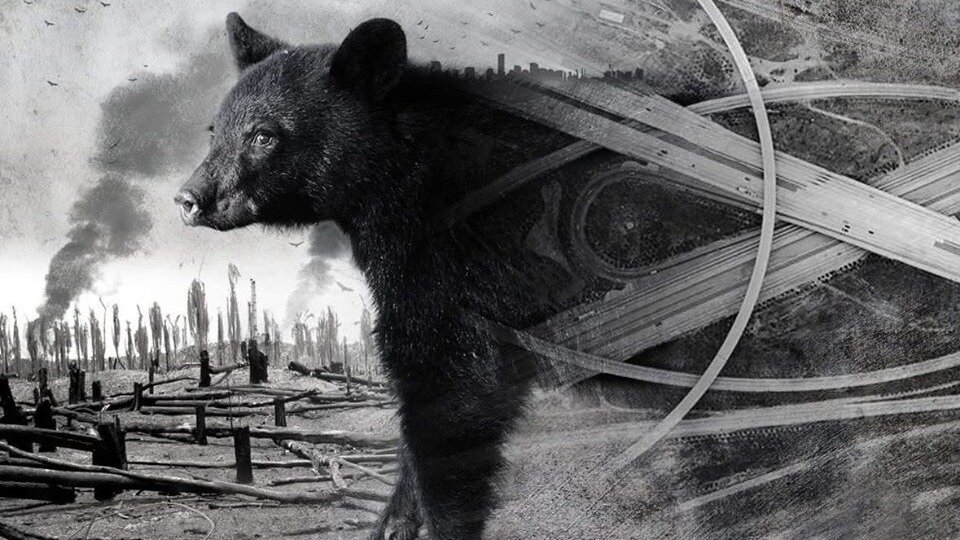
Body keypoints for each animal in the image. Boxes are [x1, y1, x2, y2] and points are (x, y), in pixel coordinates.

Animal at [176, 13, 564, 540]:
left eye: (263, 136)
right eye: (214, 131)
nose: (188, 199)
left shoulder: (452, 265)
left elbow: (453, 384)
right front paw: (392, 521)